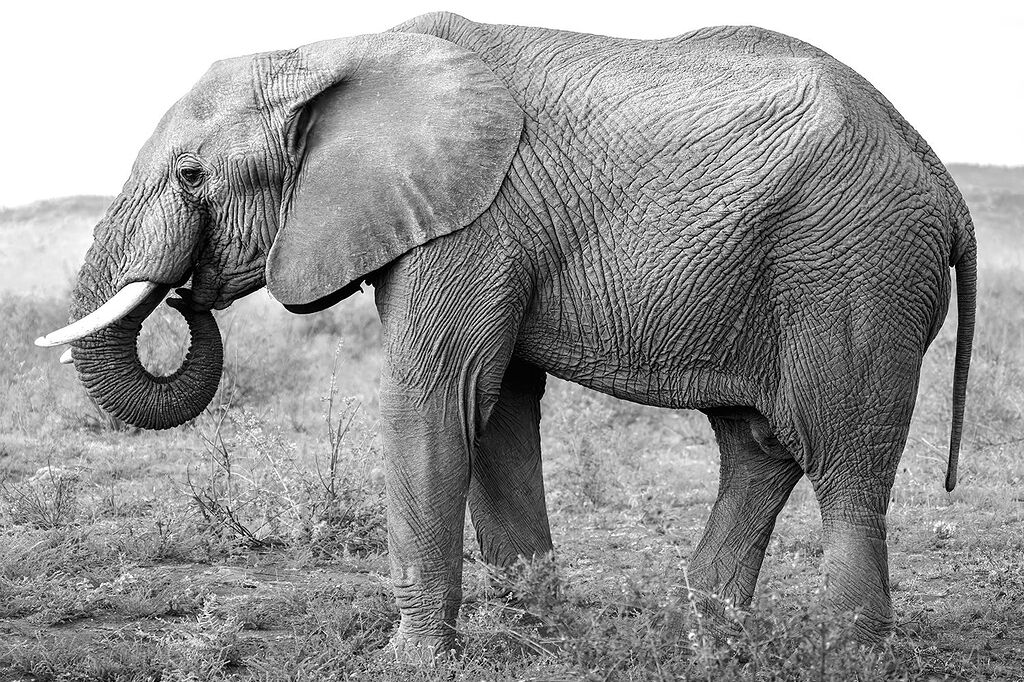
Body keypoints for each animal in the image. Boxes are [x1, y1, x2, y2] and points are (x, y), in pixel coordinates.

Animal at [37, 12, 975, 661]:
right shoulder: (478, 226)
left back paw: (840, 652)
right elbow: (494, 413)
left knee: (842, 455)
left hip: (856, 266)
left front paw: (412, 662)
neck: (336, 50)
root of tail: (940, 176)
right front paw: (537, 635)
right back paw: (701, 642)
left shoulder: (470, 222)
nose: (187, 295)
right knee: (757, 445)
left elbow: (434, 399)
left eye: (193, 176)